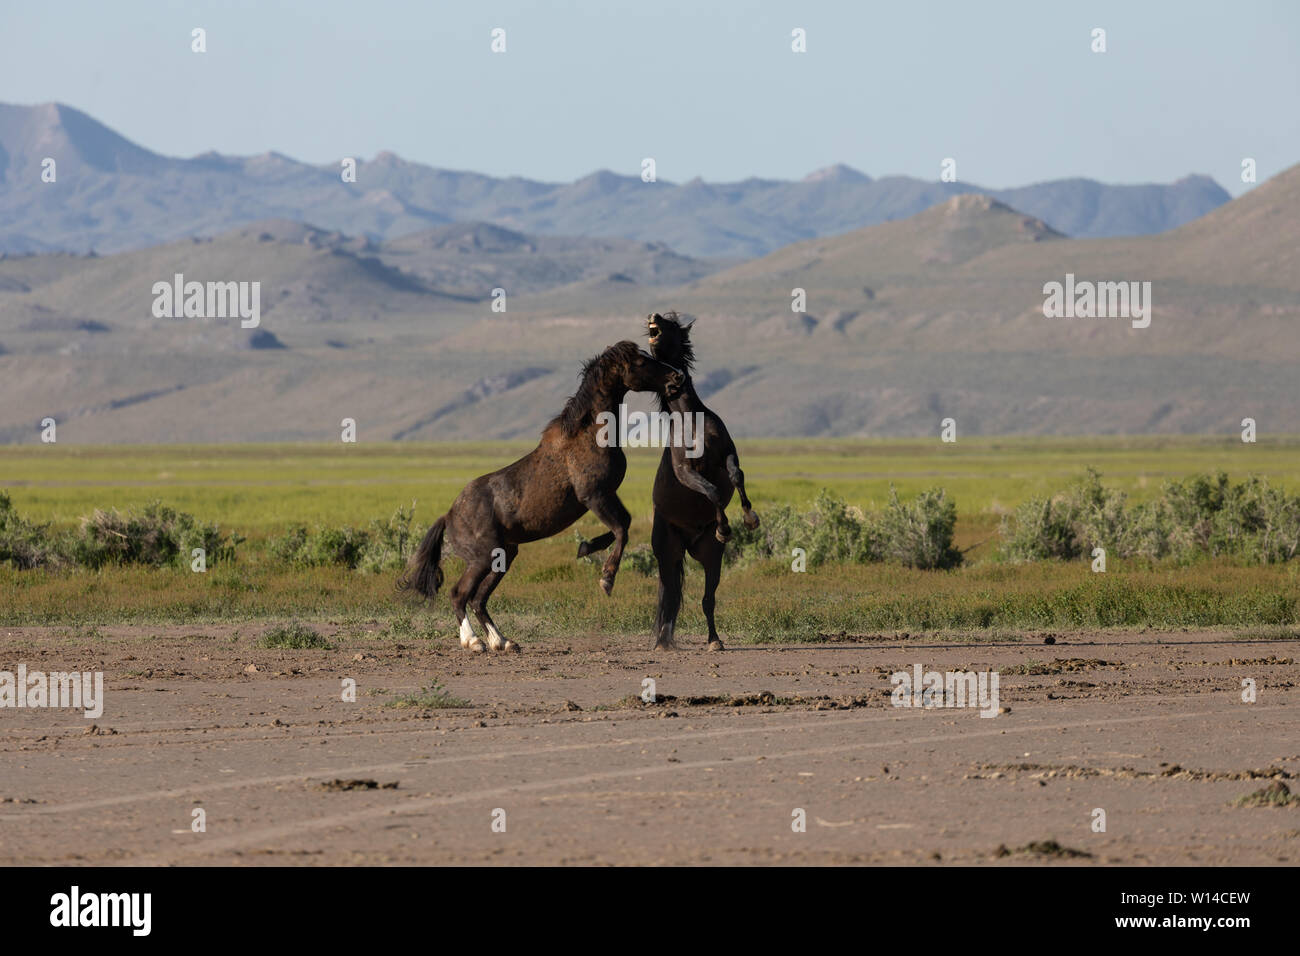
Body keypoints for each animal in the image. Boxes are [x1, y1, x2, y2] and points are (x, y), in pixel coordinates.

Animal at [400, 340, 684, 653]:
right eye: (641, 362)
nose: (677, 378)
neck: (589, 434)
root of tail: (449, 515)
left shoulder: (606, 495)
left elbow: (622, 526)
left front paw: (585, 548)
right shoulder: (594, 496)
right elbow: (621, 530)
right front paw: (606, 579)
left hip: (504, 556)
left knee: (478, 599)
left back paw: (504, 642)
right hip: (483, 557)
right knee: (459, 594)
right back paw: (474, 642)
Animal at [577, 313, 758, 651]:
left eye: (672, 323)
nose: (654, 316)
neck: (691, 420)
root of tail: (688, 541)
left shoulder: (727, 453)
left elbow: (736, 476)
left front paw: (750, 518)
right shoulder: (686, 471)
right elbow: (712, 491)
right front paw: (725, 527)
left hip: (711, 558)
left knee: (707, 599)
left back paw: (714, 640)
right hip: (667, 553)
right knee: (671, 593)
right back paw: (663, 641)